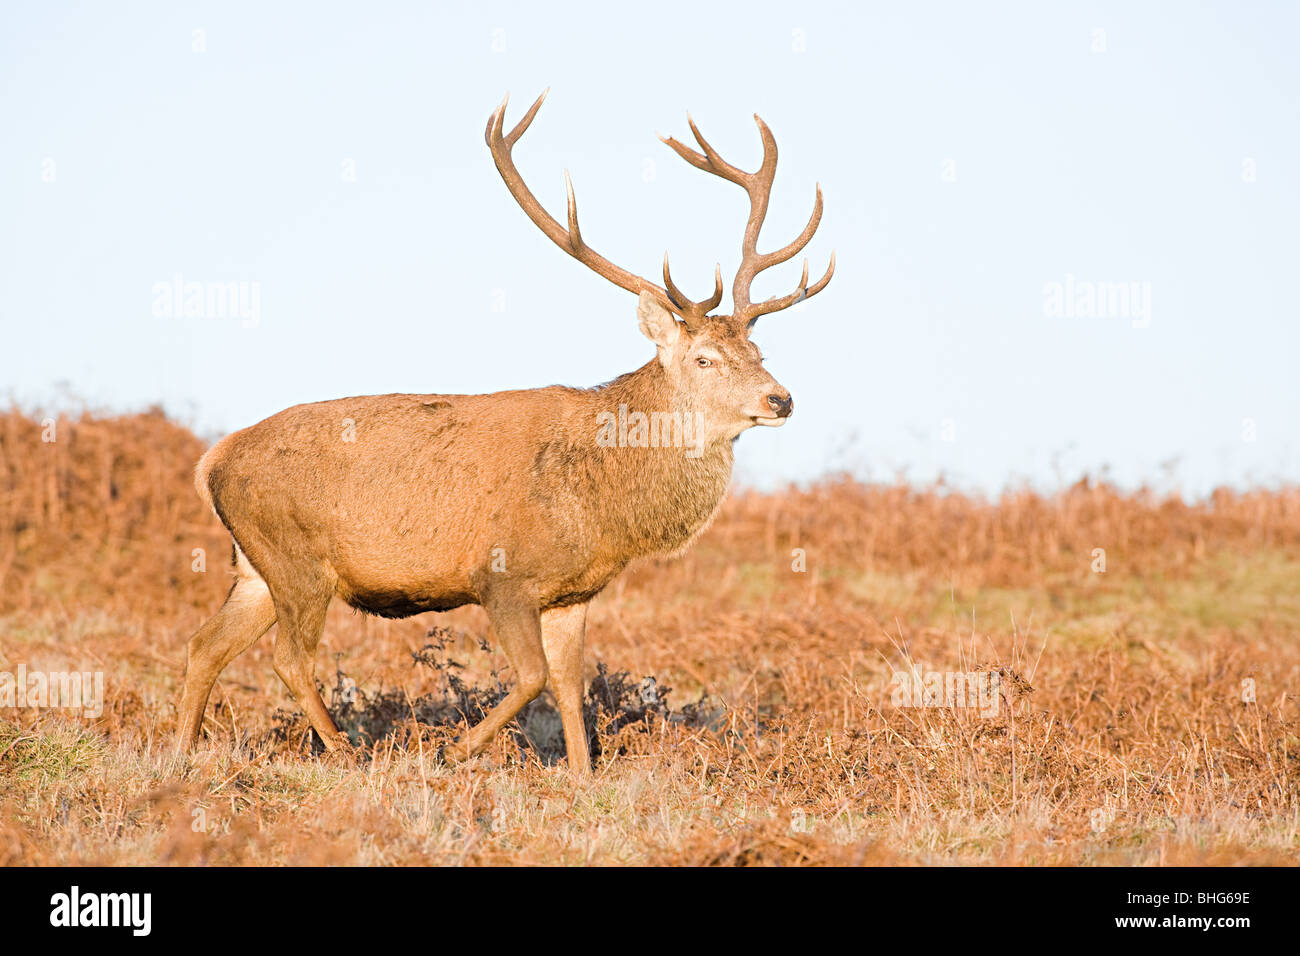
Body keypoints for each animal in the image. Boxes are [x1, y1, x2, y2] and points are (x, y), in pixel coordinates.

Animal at [177, 91, 833, 773]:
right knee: (289, 658)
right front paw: (454, 749)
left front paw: (582, 774)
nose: (781, 398)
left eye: (758, 350)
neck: (602, 506)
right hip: (298, 559)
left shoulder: (573, 594)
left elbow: (569, 684)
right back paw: (346, 753)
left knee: (204, 645)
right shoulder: (502, 576)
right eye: (705, 358)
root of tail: (211, 461)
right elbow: (531, 676)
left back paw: (180, 754)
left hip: (254, 568)